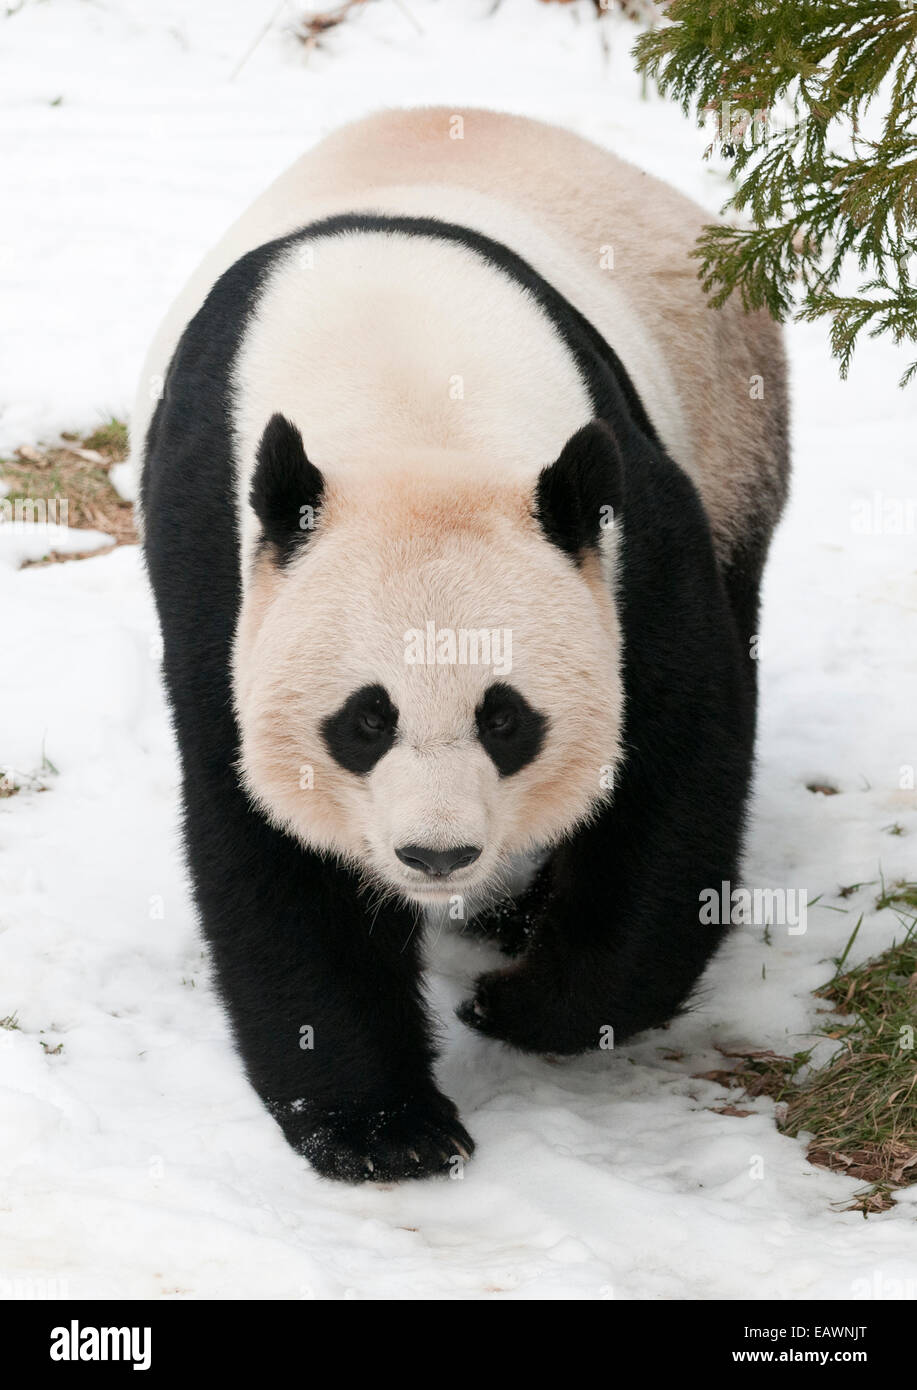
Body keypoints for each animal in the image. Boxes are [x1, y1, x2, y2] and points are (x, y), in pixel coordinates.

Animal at [134, 108, 789, 1183]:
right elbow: (264, 834)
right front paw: (383, 1131)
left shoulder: (624, 526)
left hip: (731, 422)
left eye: (506, 719)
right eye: (364, 721)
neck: (407, 405)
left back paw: (509, 921)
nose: (435, 853)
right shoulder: (218, 556)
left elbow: (677, 756)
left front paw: (523, 1004)